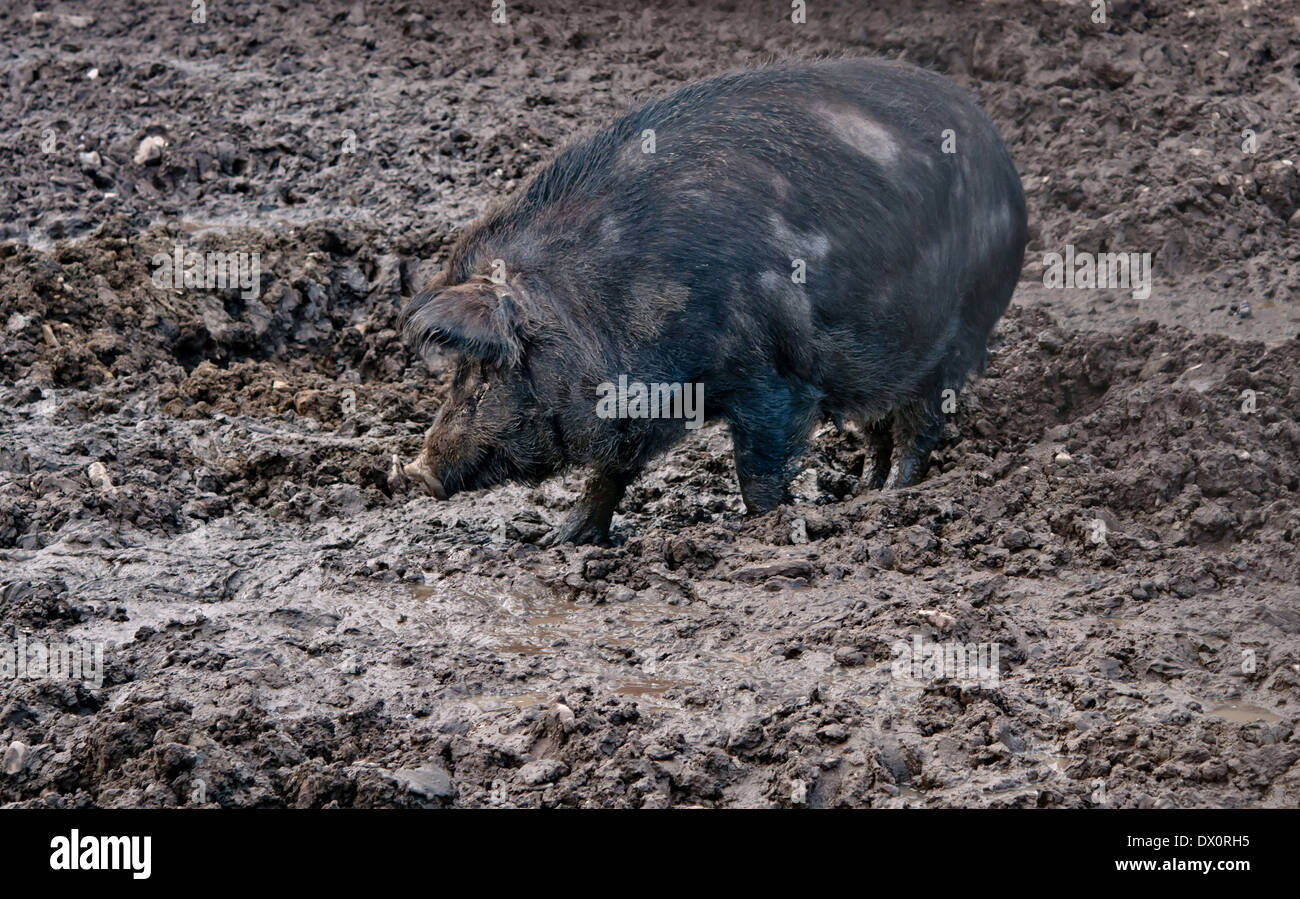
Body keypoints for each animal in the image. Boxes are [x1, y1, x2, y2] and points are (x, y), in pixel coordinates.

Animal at [400, 58, 1027, 544]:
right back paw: (859, 496)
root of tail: (1001, 155)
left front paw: (770, 529)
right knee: (876, 424)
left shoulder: (771, 379)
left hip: (960, 333)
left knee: (921, 424)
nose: (416, 472)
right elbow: (608, 472)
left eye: (489, 370)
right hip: (874, 361)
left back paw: (889, 499)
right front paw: (560, 541)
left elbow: (757, 472)